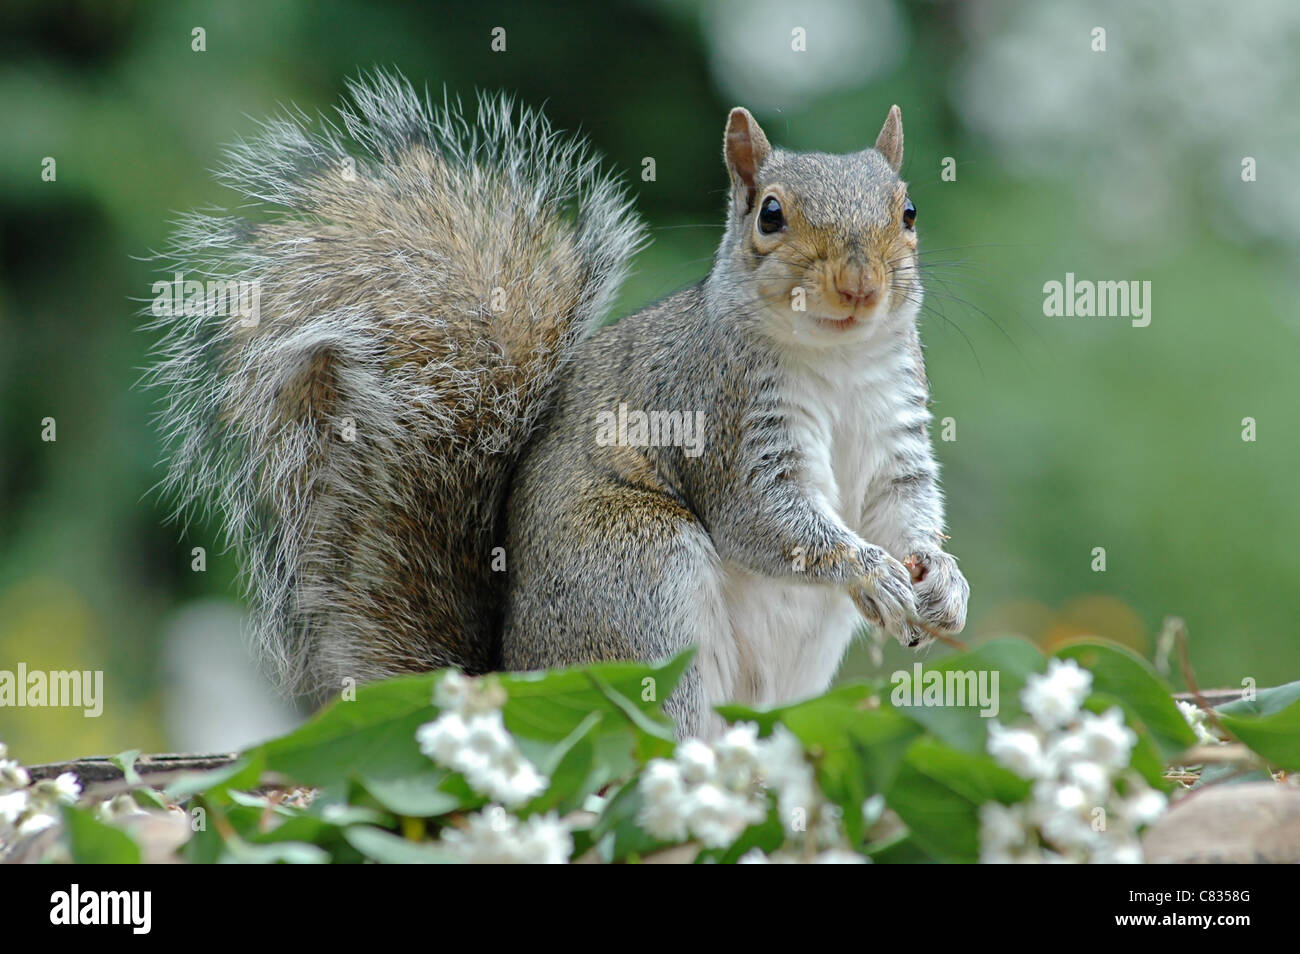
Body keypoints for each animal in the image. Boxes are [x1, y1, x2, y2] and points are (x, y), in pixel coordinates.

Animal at [149, 71, 969, 737]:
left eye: (909, 212)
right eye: (770, 214)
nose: (860, 286)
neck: (836, 361)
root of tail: (512, 683)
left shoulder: (895, 433)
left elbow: (905, 507)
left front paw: (942, 581)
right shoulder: (723, 415)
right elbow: (765, 519)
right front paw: (871, 571)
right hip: (637, 580)